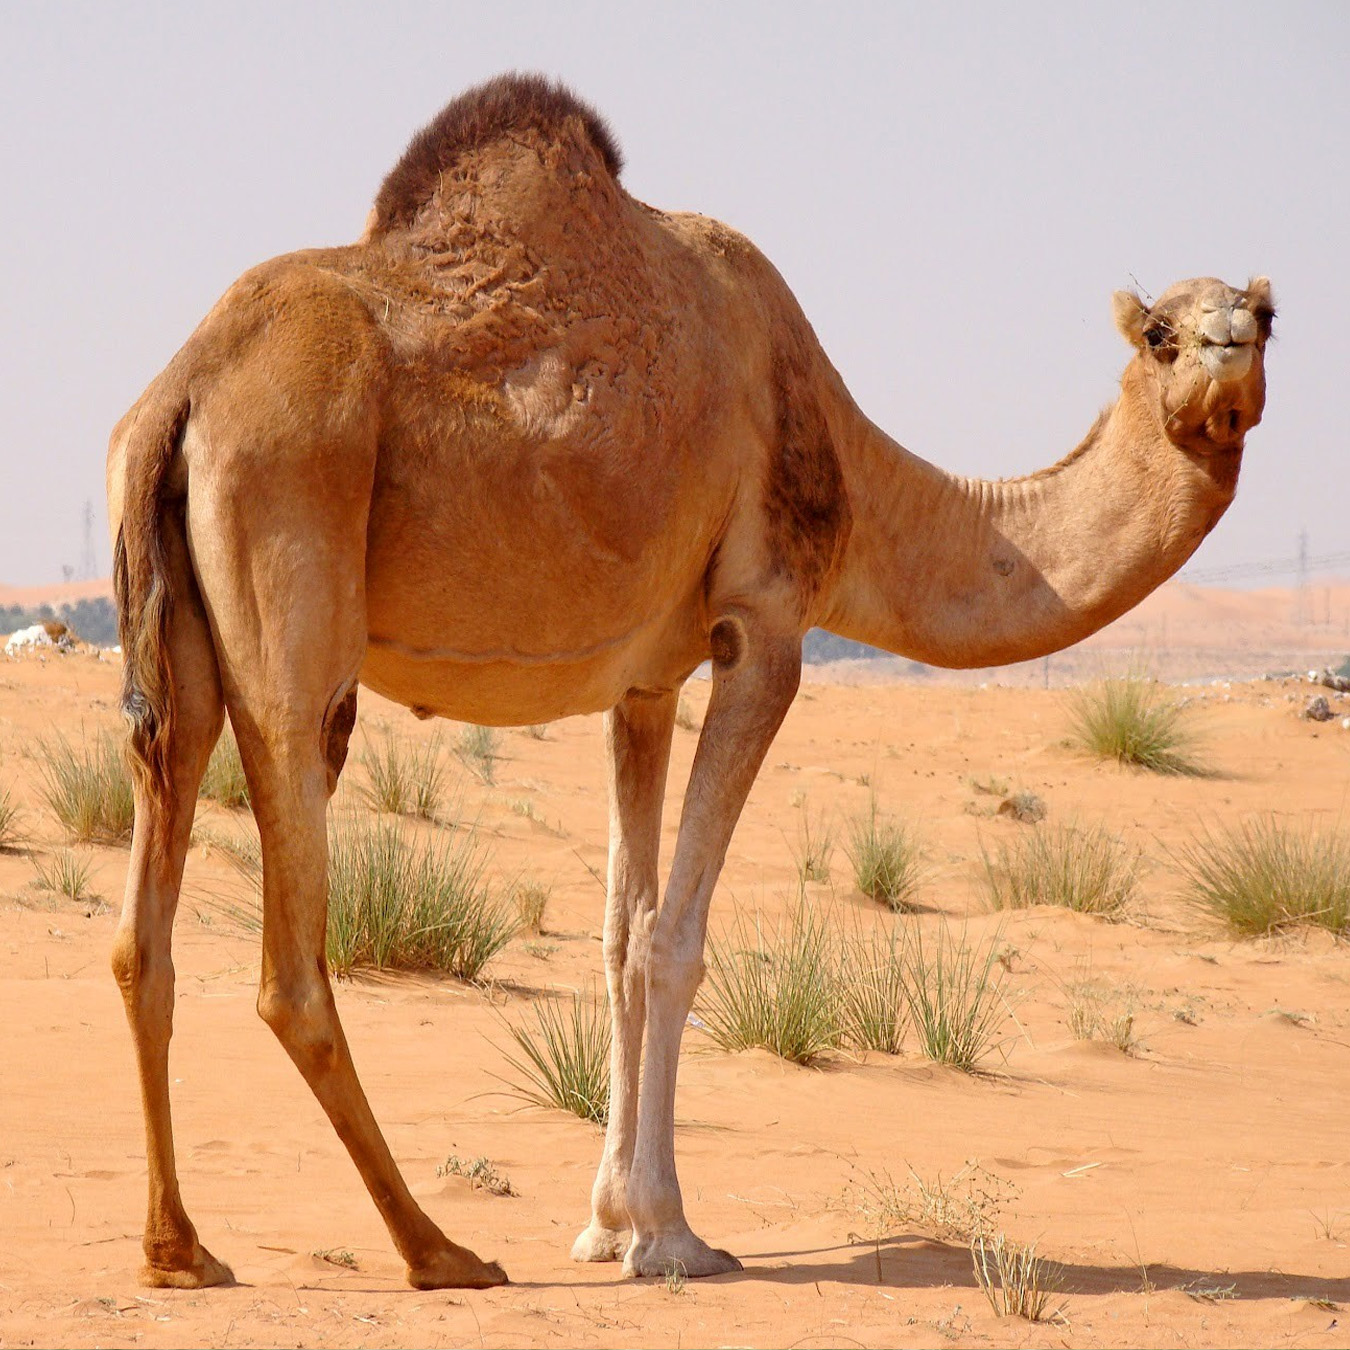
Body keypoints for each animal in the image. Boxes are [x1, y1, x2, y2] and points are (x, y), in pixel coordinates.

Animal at [106, 72, 1273, 1291]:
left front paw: (607, 1222)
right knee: (289, 950)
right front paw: (668, 1235)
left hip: (178, 639)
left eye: (1265, 316)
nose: (1229, 345)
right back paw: (438, 1251)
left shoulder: (645, 684)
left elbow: (621, 934)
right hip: (295, 565)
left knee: (146, 922)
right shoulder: (765, 627)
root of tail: (181, 392)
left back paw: (181, 1249)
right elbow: (675, 936)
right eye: (1161, 333)